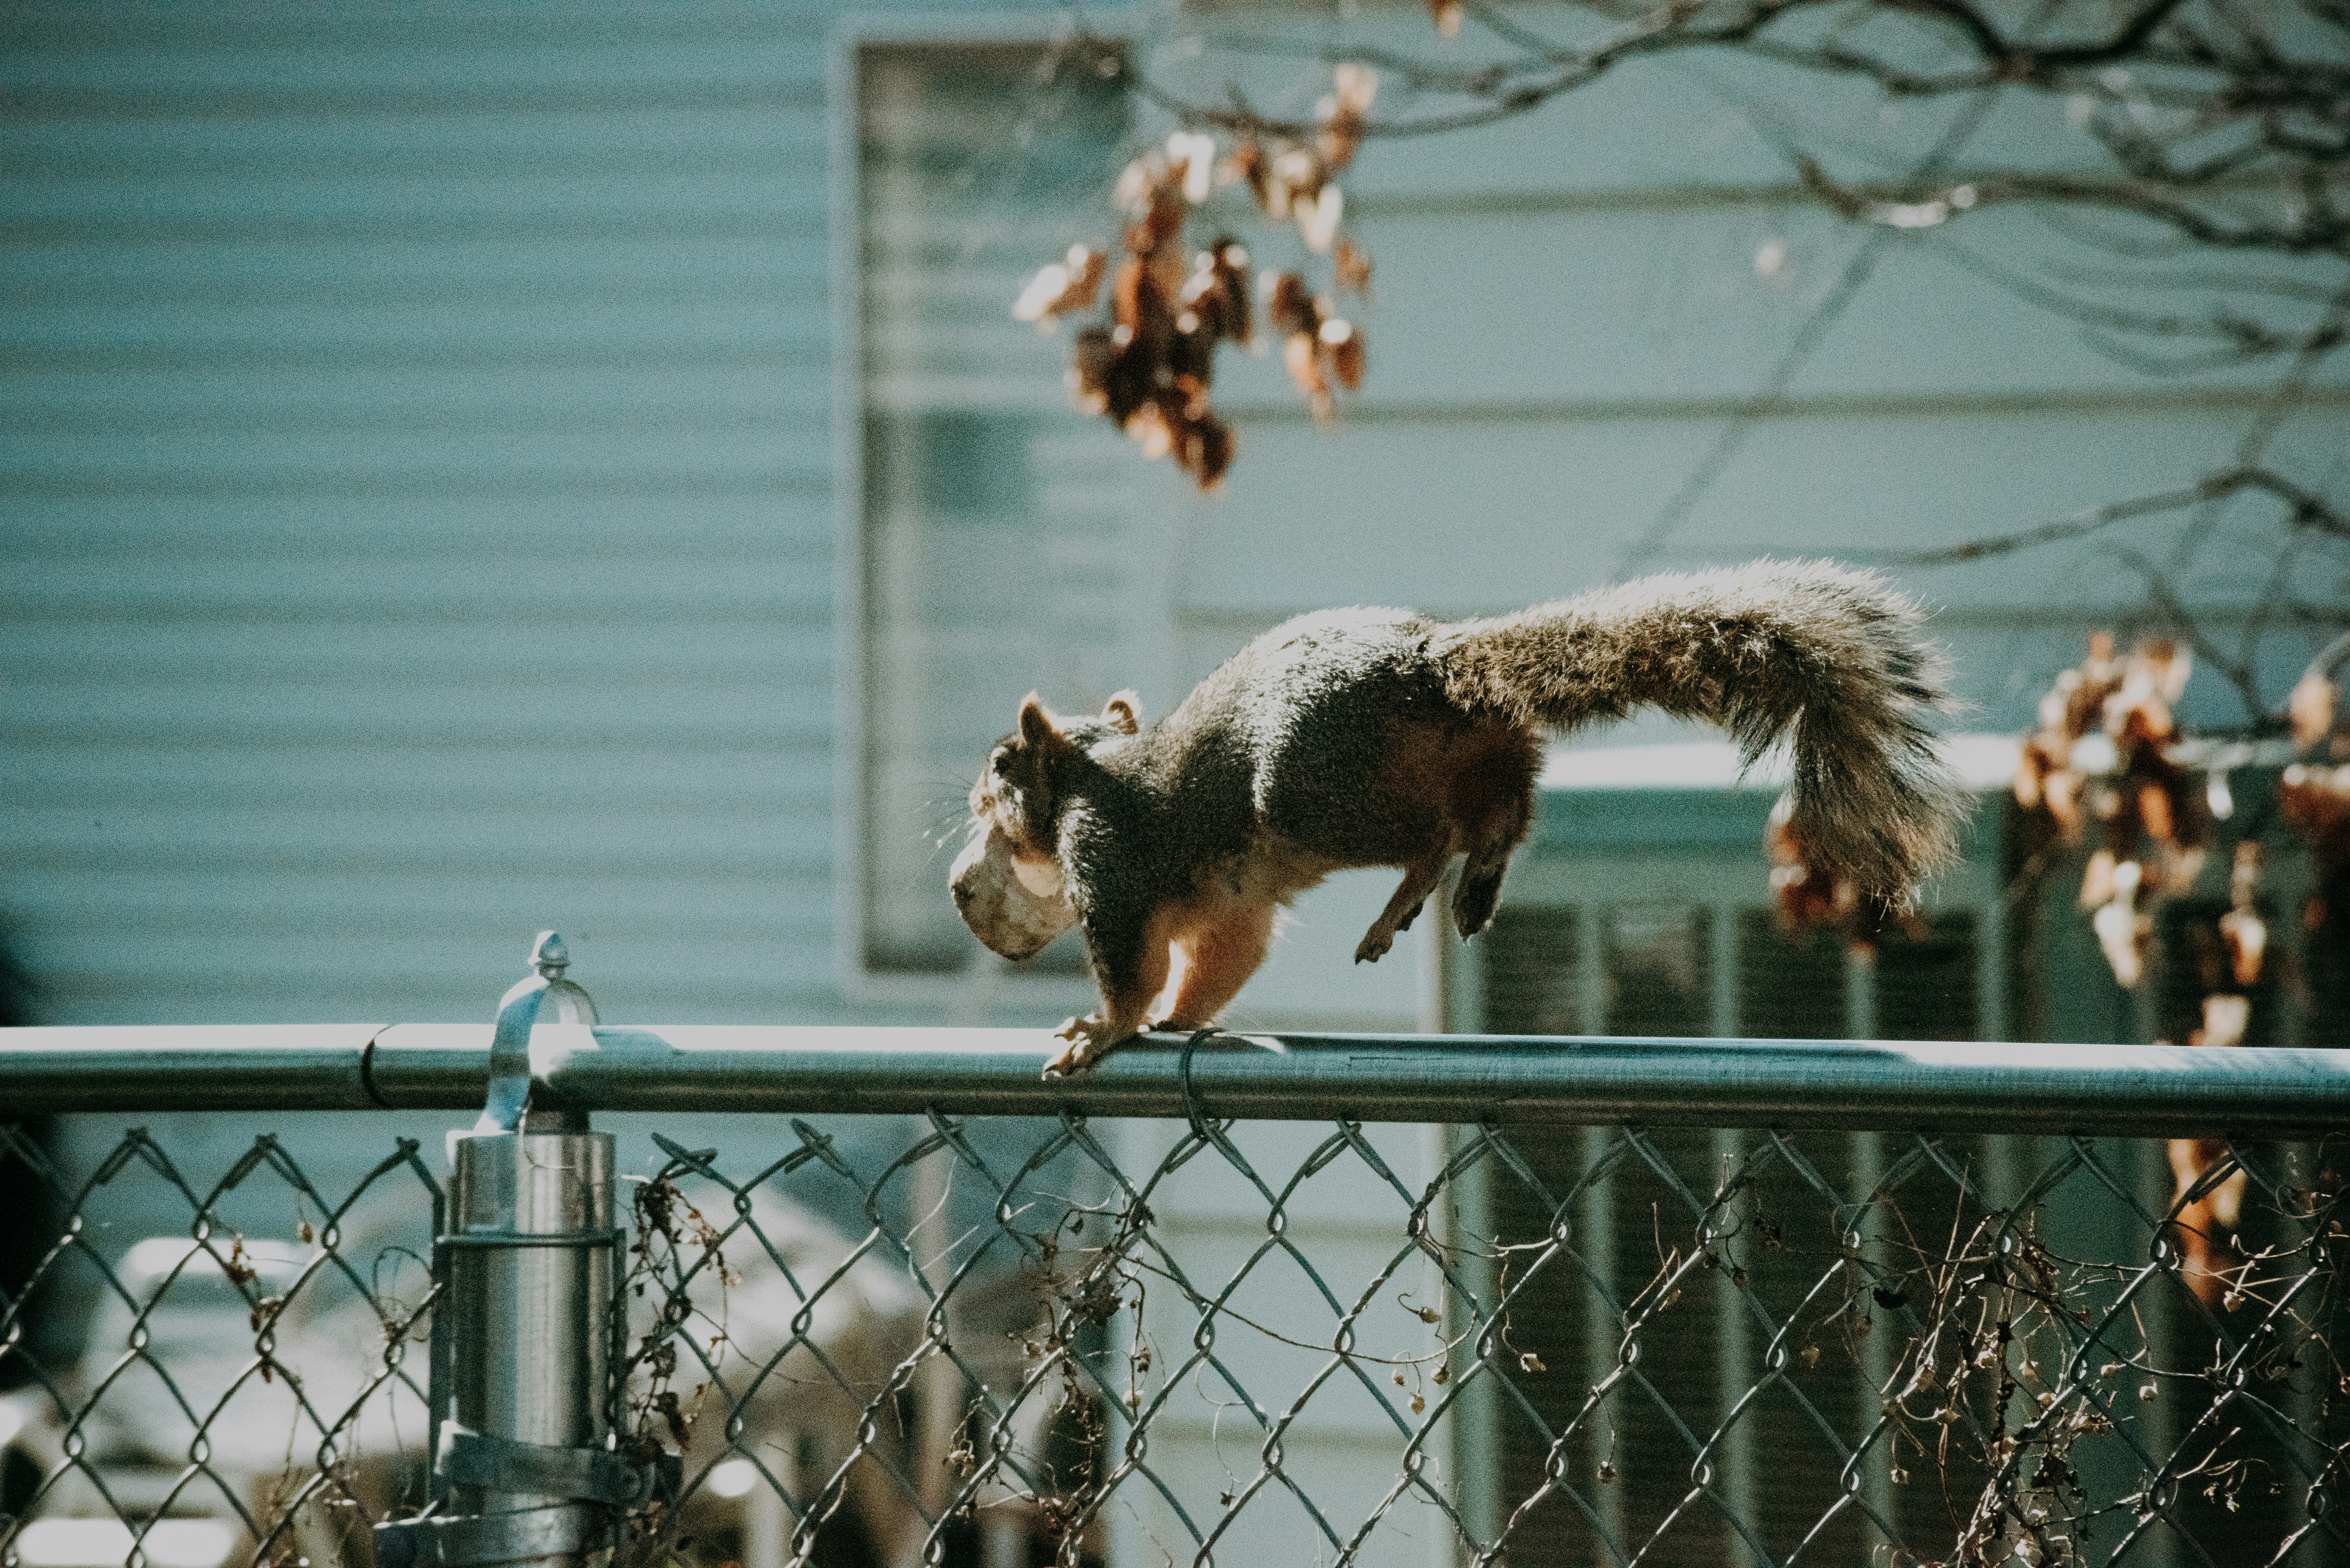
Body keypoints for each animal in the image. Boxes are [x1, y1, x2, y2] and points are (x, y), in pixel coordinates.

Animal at [948, 559, 1966, 1078]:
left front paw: (1108, 1028)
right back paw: (1476, 882)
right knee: (1512, 797)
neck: (1092, 774)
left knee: (1432, 833)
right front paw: (1174, 1020)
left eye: (1001, 767)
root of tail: (1430, 665)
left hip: (1311, 793)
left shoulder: (1109, 858)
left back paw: (1412, 894)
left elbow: (1131, 965)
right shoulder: (1227, 912)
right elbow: (1219, 962)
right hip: (1480, 749)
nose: (969, 797)